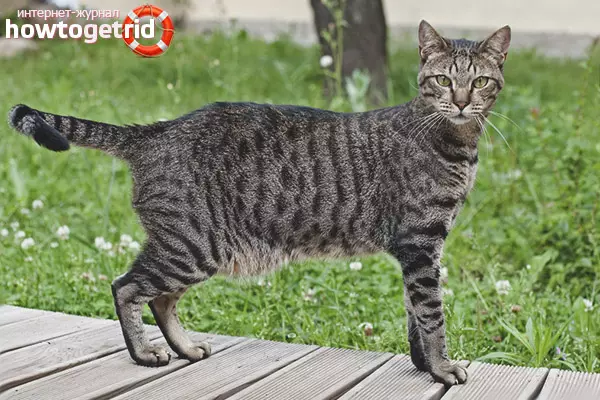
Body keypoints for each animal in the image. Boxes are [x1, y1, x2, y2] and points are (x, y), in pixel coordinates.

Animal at [7, 20, 508, 386]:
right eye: (443, 80)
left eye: (481, 81)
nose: (461, 102)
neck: (457, 144)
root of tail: (156, 130)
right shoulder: (420, 244)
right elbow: (432, 315)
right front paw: (441, 369)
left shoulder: (420, 249)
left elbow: (414, 317)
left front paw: (424, 366)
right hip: (192, 244)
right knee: (126, 287)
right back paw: (145, 352)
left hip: (194, 248)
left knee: (161, 299)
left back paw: (185, 347)